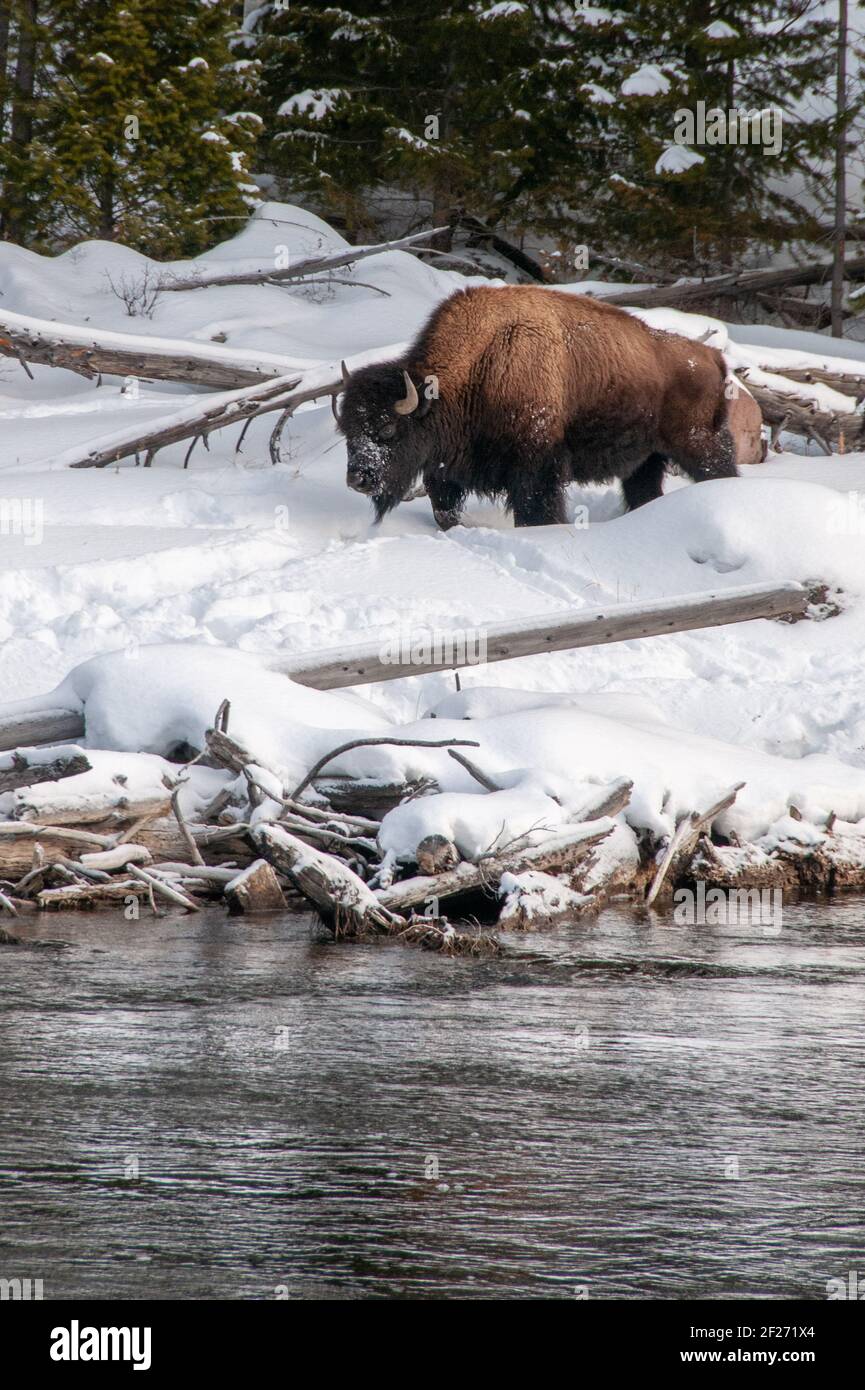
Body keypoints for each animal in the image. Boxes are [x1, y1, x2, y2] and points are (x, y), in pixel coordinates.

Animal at [336, 284, 753, 529]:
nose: (358, 479)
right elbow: (445, 510)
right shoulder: (446, 470)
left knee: (719, 472)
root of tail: (714, 358)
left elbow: (537, 513)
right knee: (644, 492)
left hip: (700, 445)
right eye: (347, 431)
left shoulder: (537, 466)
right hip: (645, 461)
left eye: (388, 429)